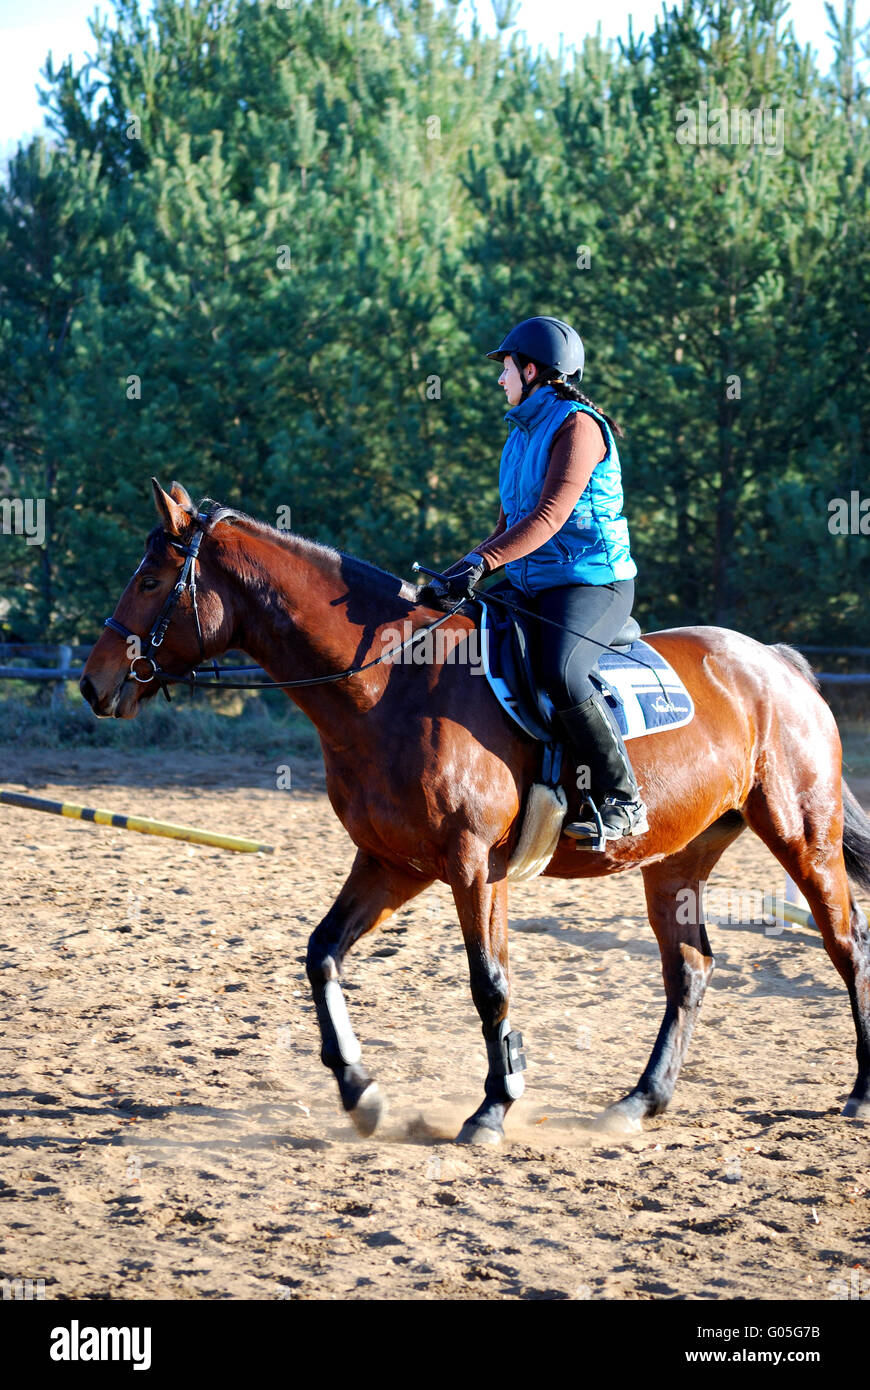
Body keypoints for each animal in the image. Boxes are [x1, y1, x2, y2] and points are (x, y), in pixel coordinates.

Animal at [80, 480, 870, 1145]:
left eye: (150, 581)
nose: (93, 685)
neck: (391, 684)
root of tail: (776, 663)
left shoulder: (473, 867)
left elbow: (489, 986)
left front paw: (494, 1106)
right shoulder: (393, 862)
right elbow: (322, 953)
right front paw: (360, 1092)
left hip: (803, 837)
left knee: (846, 944)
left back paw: (859, 1093)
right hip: (675, 860)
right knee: (692, 969)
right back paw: (640, 1101)